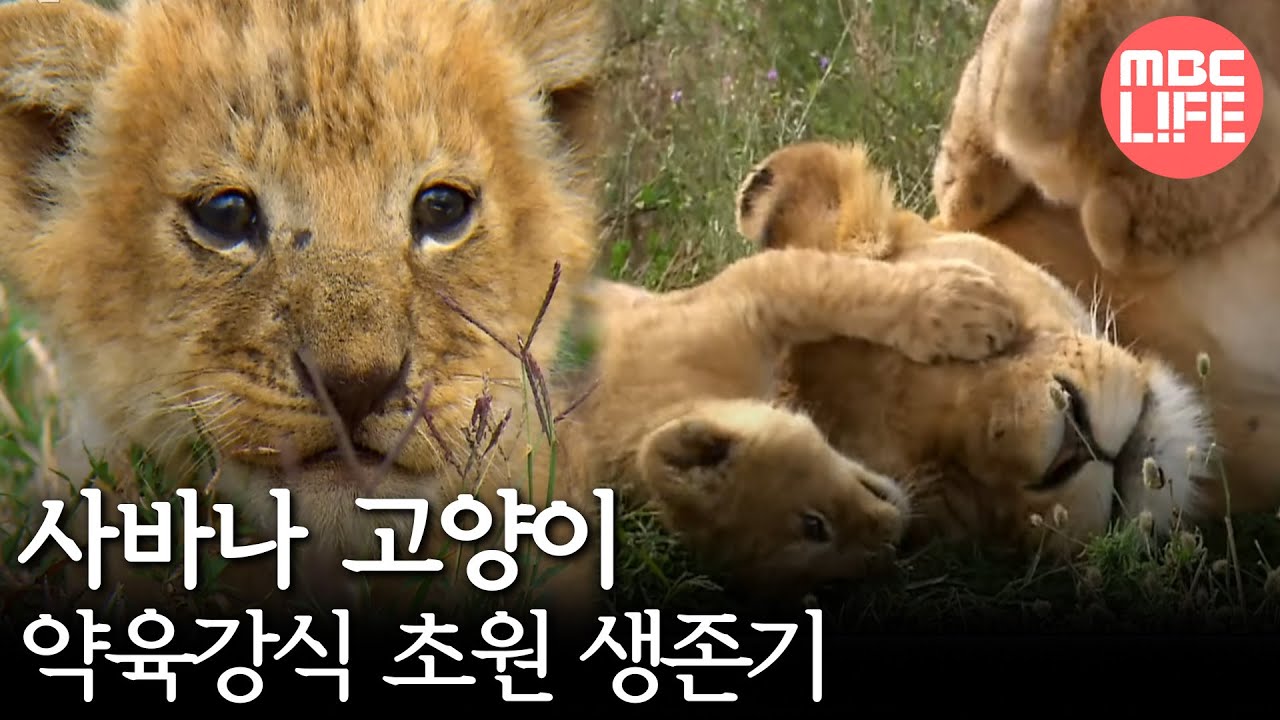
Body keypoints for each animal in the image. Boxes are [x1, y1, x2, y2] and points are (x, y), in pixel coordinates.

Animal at [566, 242, 1020, 600]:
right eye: (825, 582)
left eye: (812, 525)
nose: (895, 542)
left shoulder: (740, 293)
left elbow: (840, 288)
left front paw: (965, 305)